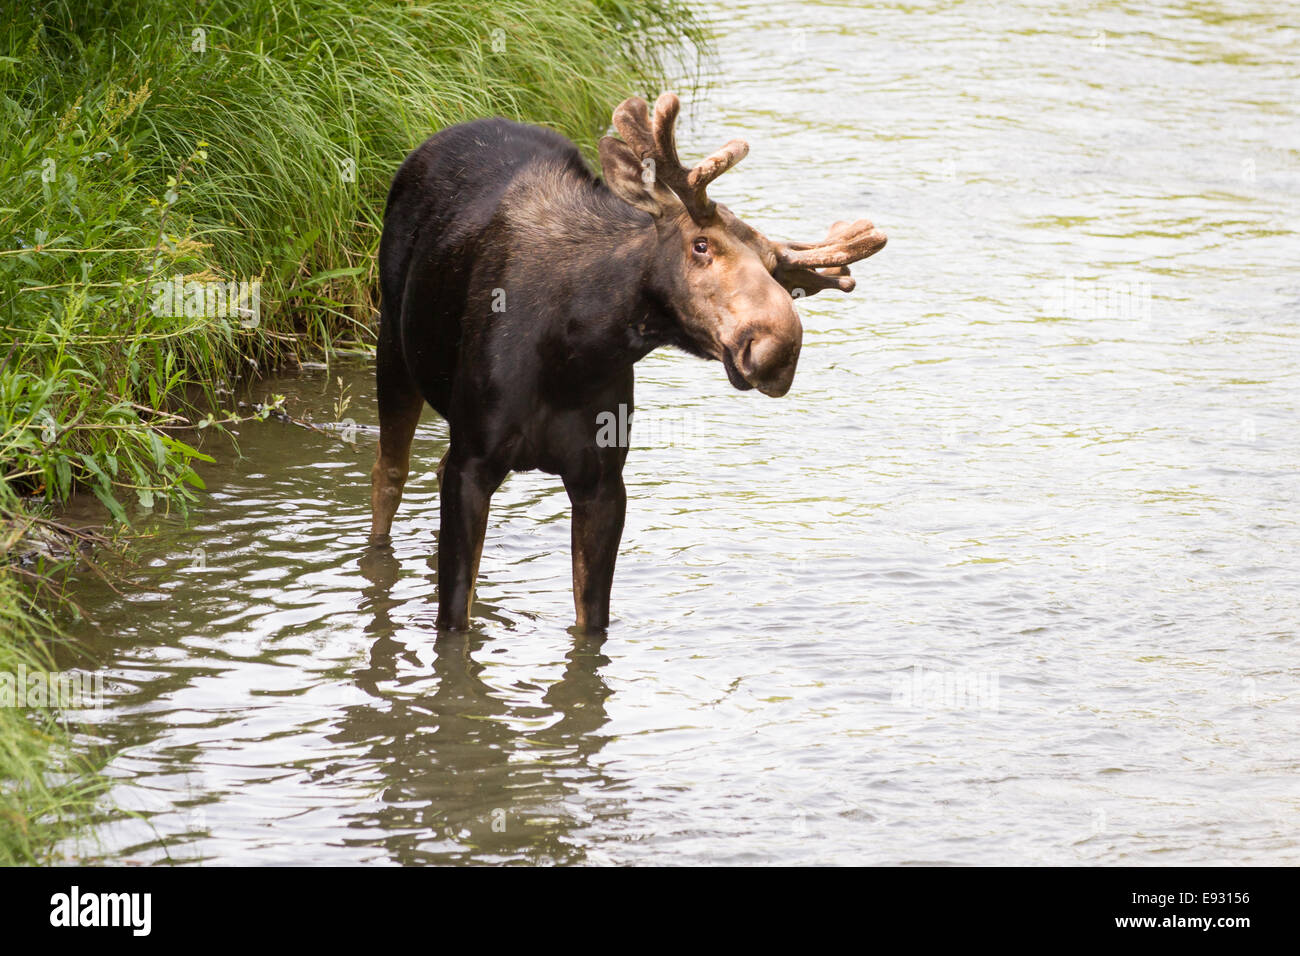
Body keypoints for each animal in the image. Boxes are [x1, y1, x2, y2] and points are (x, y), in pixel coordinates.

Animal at [368, 92, 887, 633]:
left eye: (773, 271)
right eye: (701, 244)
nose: (777, 348)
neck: (576, 352)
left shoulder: (602, 481)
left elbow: (590, 622)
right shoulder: (474, 461)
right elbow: (453, 621)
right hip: (393, 346)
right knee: (388, 474)